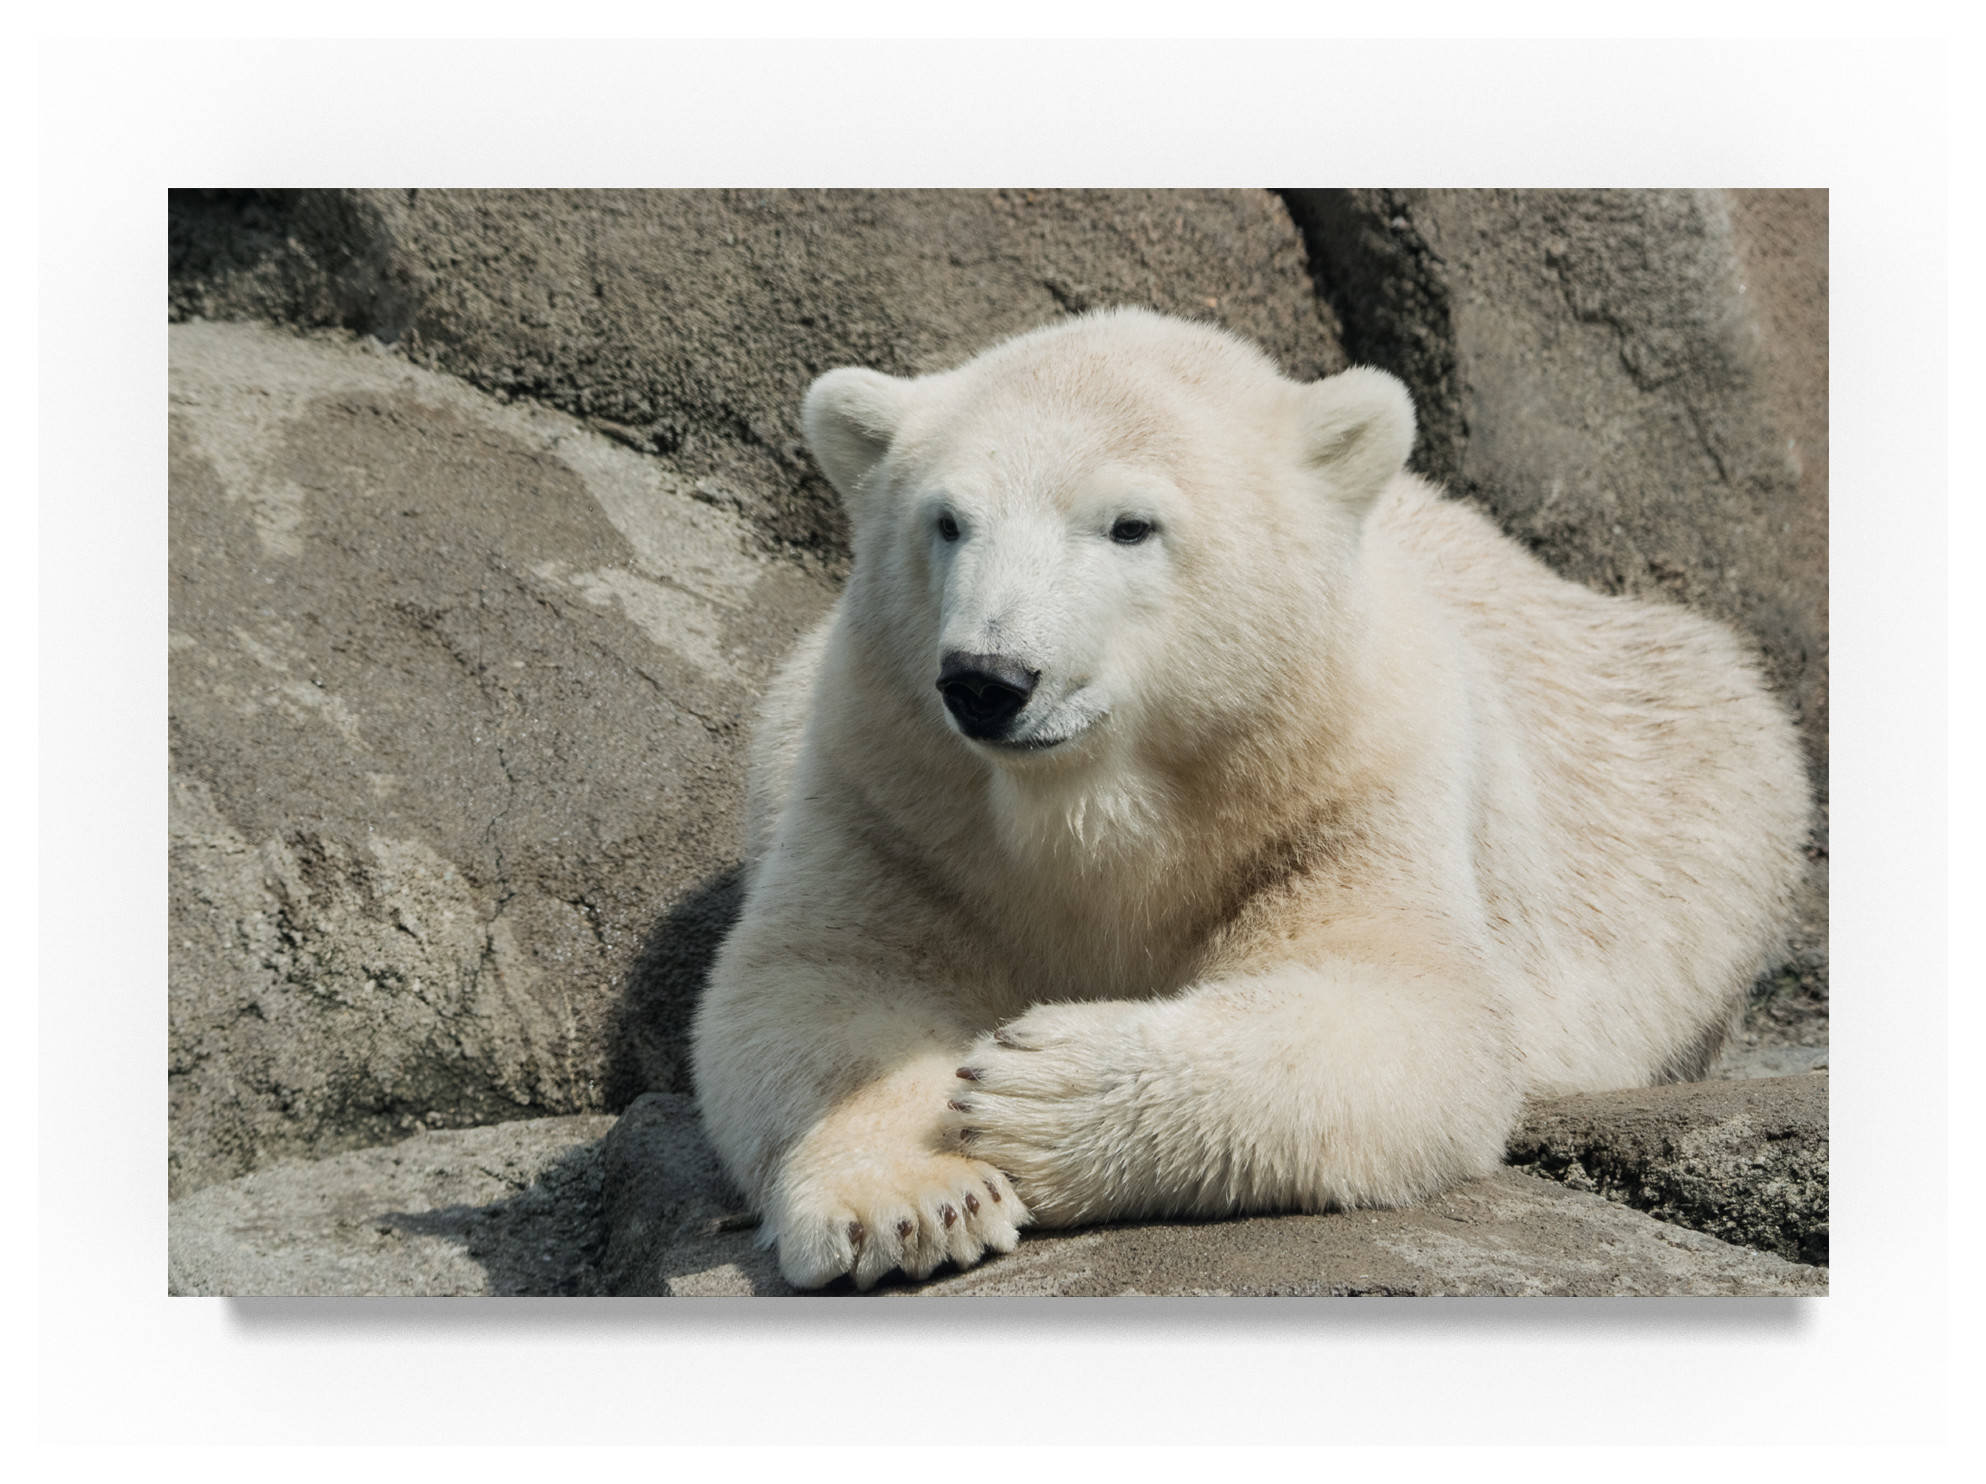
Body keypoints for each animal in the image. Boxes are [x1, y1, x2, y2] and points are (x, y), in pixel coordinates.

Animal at [690, 306, 1811, 1292]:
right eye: (948, 520)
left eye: (1130, 525)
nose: (988, 678)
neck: (1085, 800)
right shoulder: (889, 786)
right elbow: (819, 981)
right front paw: (916, 1203)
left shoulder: (1347, 778)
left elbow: (1405, 1002)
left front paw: (1035, 1086)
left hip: (1687, 780)